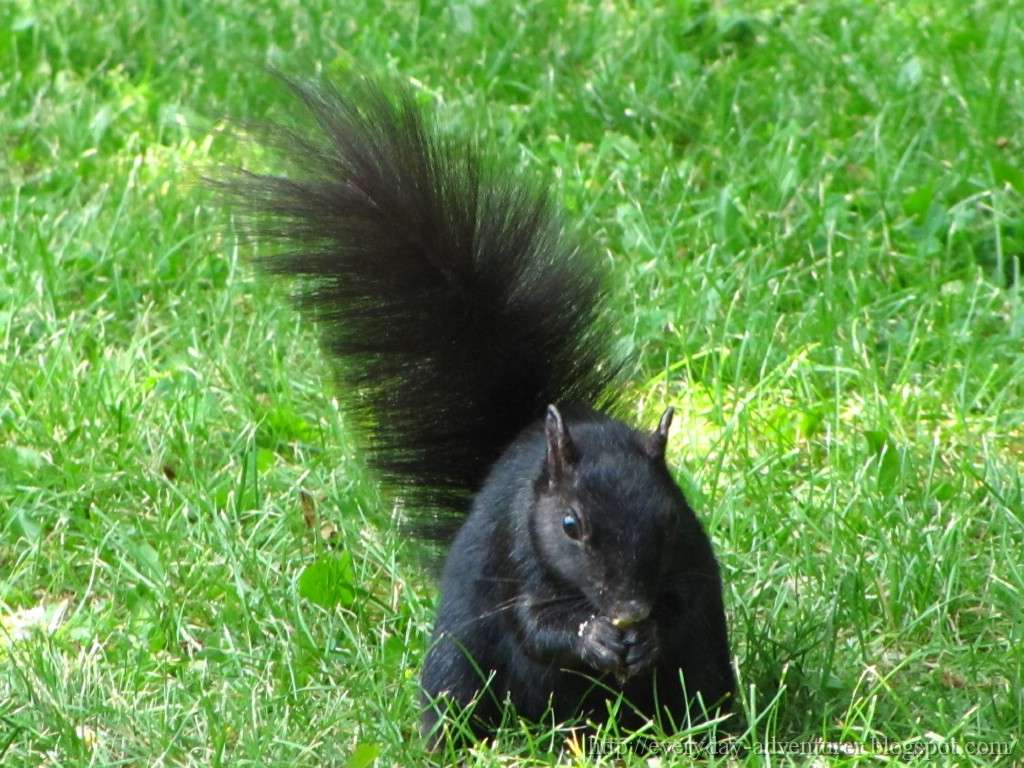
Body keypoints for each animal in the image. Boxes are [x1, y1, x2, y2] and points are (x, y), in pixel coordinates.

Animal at [220, 76, 735, 743]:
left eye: (671, 520)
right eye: (570, 526)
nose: (628, 611)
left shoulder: (687, 564)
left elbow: (678, 610)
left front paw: (645, 635)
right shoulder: (513, 549)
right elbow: (533, 626)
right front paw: (592, 637)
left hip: (705, 671)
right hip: (459, 667)